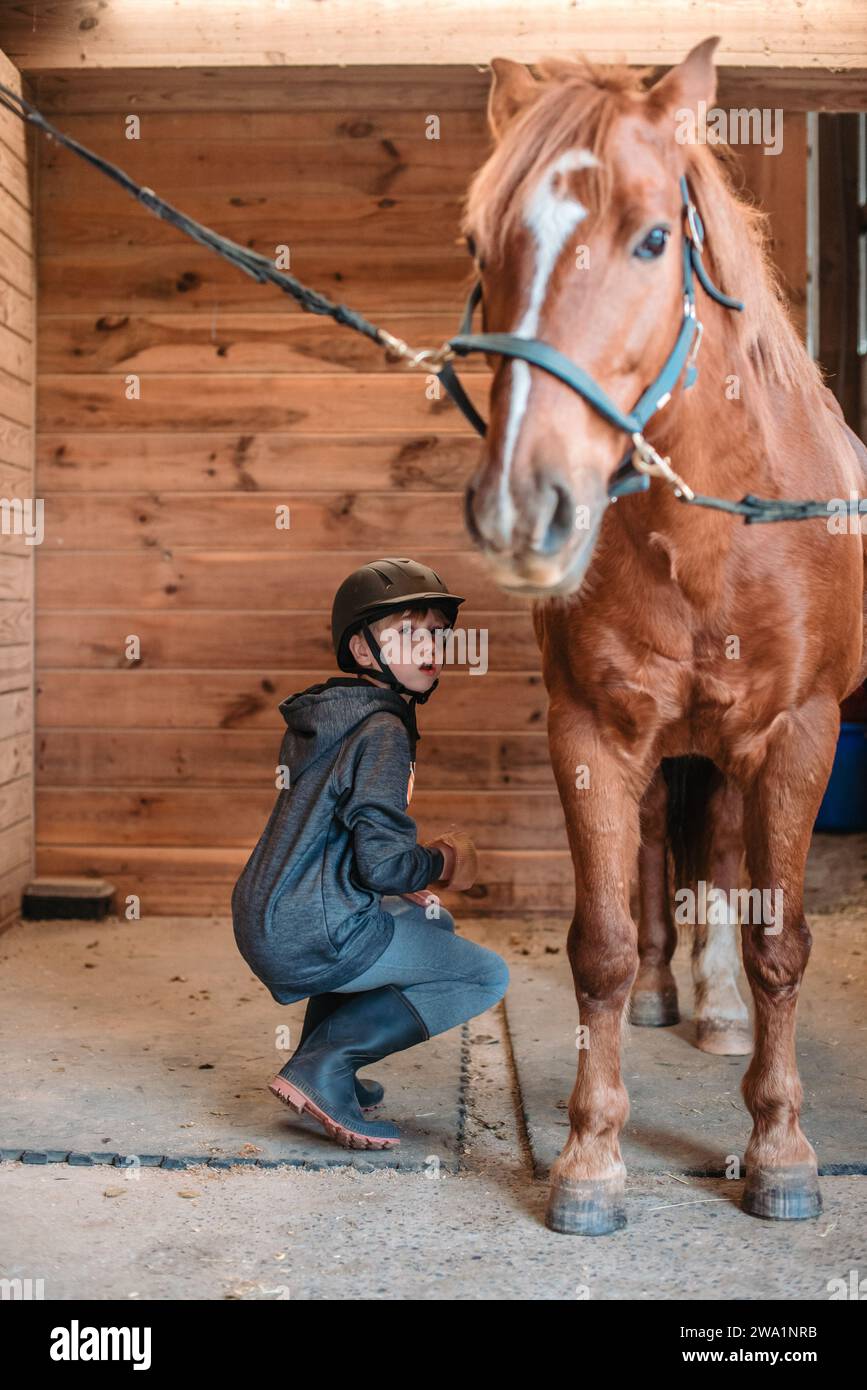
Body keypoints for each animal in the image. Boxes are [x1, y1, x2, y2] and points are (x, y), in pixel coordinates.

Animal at [460, 37, 867, 1235]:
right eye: (480, 244)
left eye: (652, 238)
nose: (523, 504)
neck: (714, 531)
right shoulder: (594, 732)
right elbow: (596, 944)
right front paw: (591, 1154)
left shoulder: (798, 736)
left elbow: (779, 940)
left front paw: (780, 1147)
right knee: (656, 861)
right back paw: (660, 994)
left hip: (734, 752)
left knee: (722, 858)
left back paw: (718, 1011)